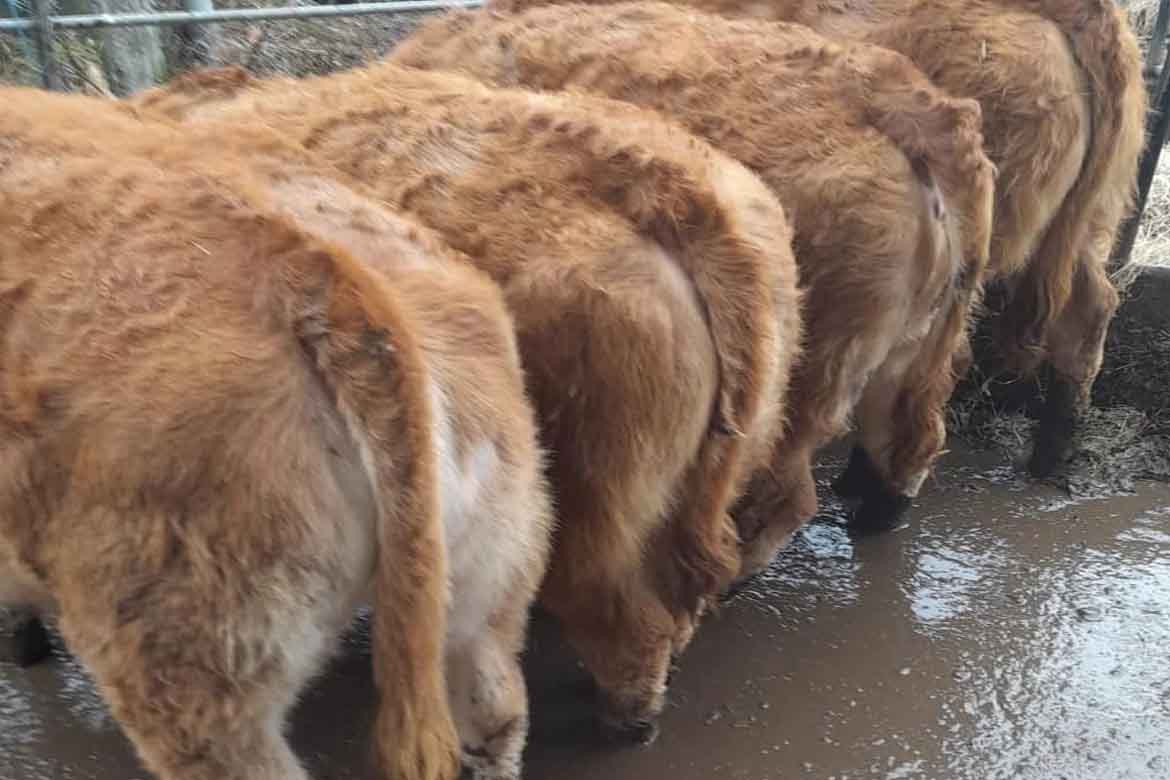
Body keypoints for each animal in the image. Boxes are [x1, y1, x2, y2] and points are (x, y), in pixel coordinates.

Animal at [392, 1, 996, 578]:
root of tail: (918, 115)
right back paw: (873, 505)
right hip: (918, 344)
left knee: (786, 496)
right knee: (911, 437)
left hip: (817, 372)